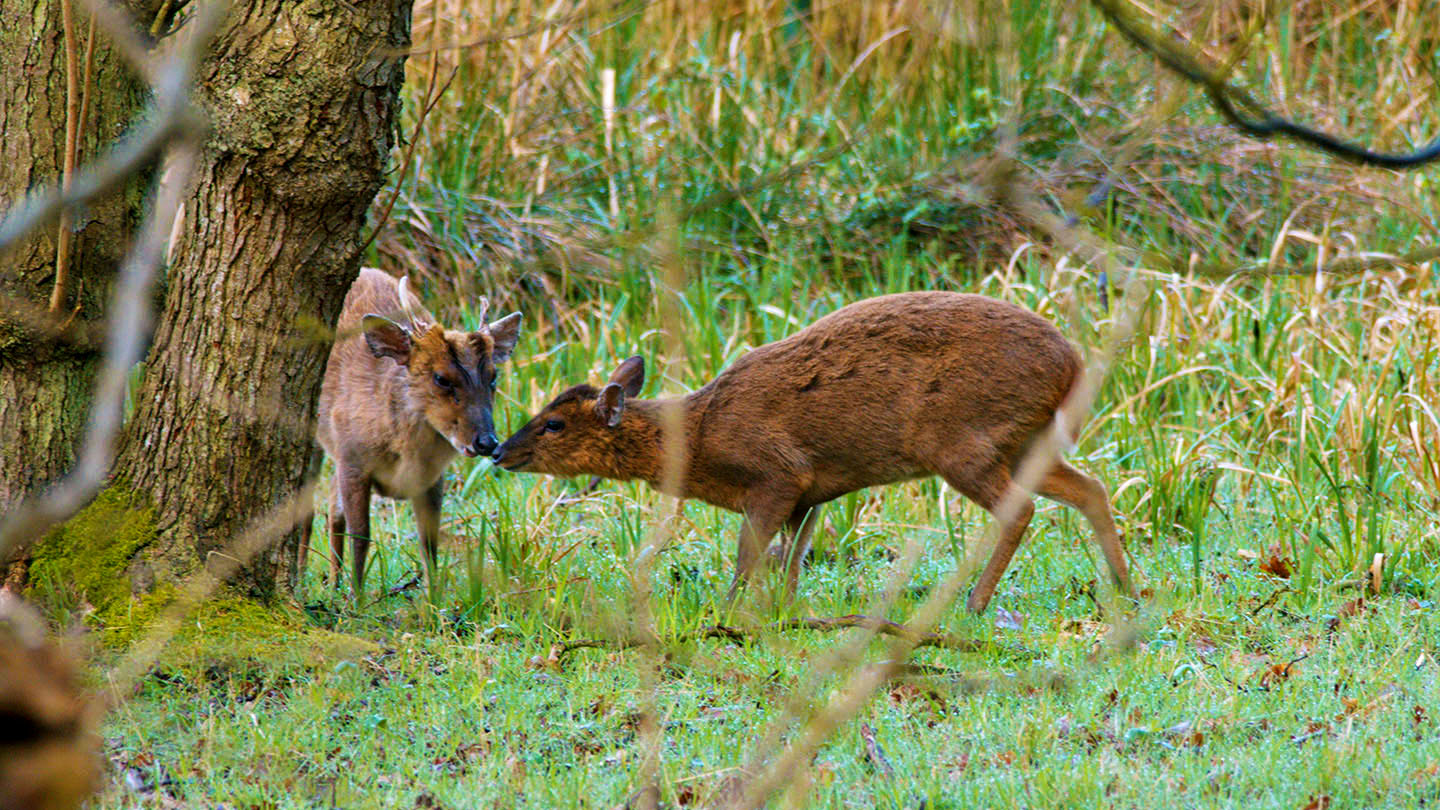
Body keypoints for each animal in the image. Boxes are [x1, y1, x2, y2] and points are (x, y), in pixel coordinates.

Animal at [313, 267, 522, 597]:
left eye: (493, 376)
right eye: (441, 378)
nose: (487, 442)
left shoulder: (432, 477)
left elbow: (429, 540)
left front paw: (433, 599)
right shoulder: (352, 458)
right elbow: (361, 535)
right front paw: (356, 599)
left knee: (332, 507)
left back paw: (333, 584)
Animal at [490, 291, 1132, 613]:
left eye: (552, 423)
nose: (497, 452)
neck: (698, 440)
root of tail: (1072, 365)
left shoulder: (776, 473)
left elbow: (749, 554)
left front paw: (728, 612)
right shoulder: (812, 490)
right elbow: (793, 556)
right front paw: (785, 611)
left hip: (961, 439)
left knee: (1020, 510)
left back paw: (973, 602)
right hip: (1022, 439)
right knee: (1090, 488)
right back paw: (1126, 587)